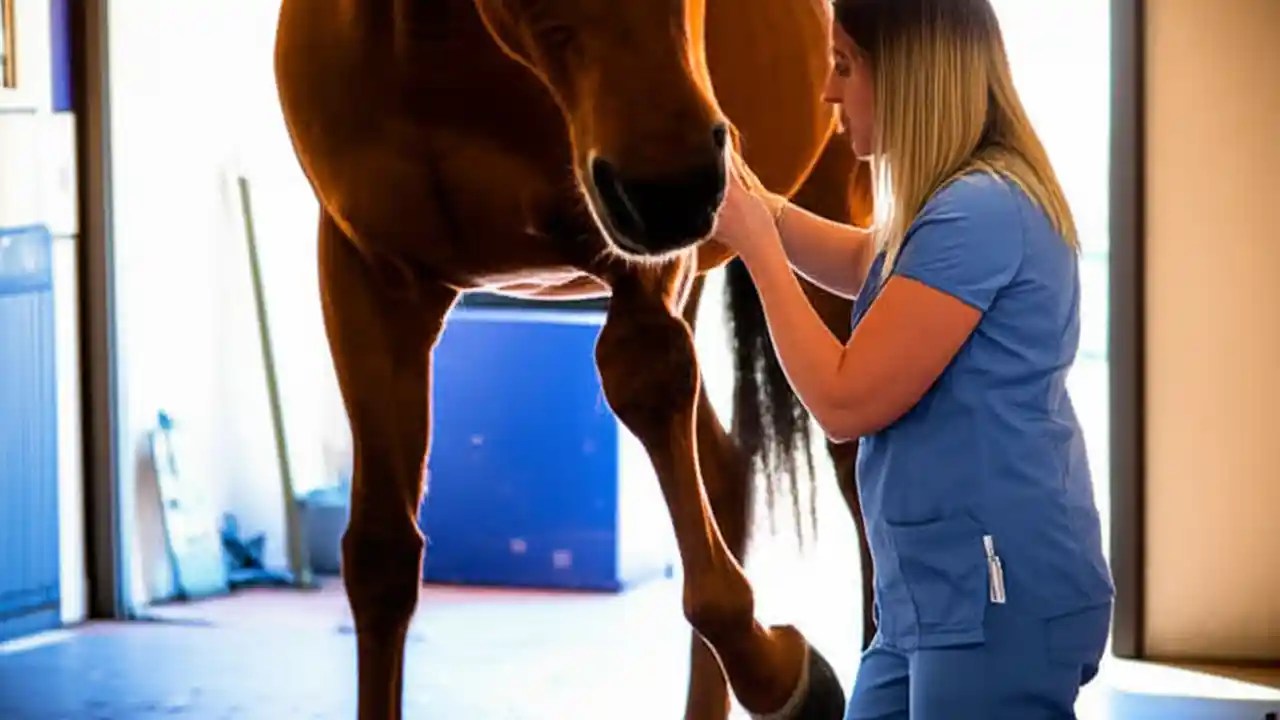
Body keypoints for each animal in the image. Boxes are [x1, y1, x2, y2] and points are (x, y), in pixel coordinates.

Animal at [273, 0, 875, 717]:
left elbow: (643, 378)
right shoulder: (367, 278)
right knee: (727, 471)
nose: (677, 190)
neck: (432, 53)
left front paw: (791, 679)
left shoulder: (645, 260)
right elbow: (380, 557)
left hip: (830, 203)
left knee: (854, 464)